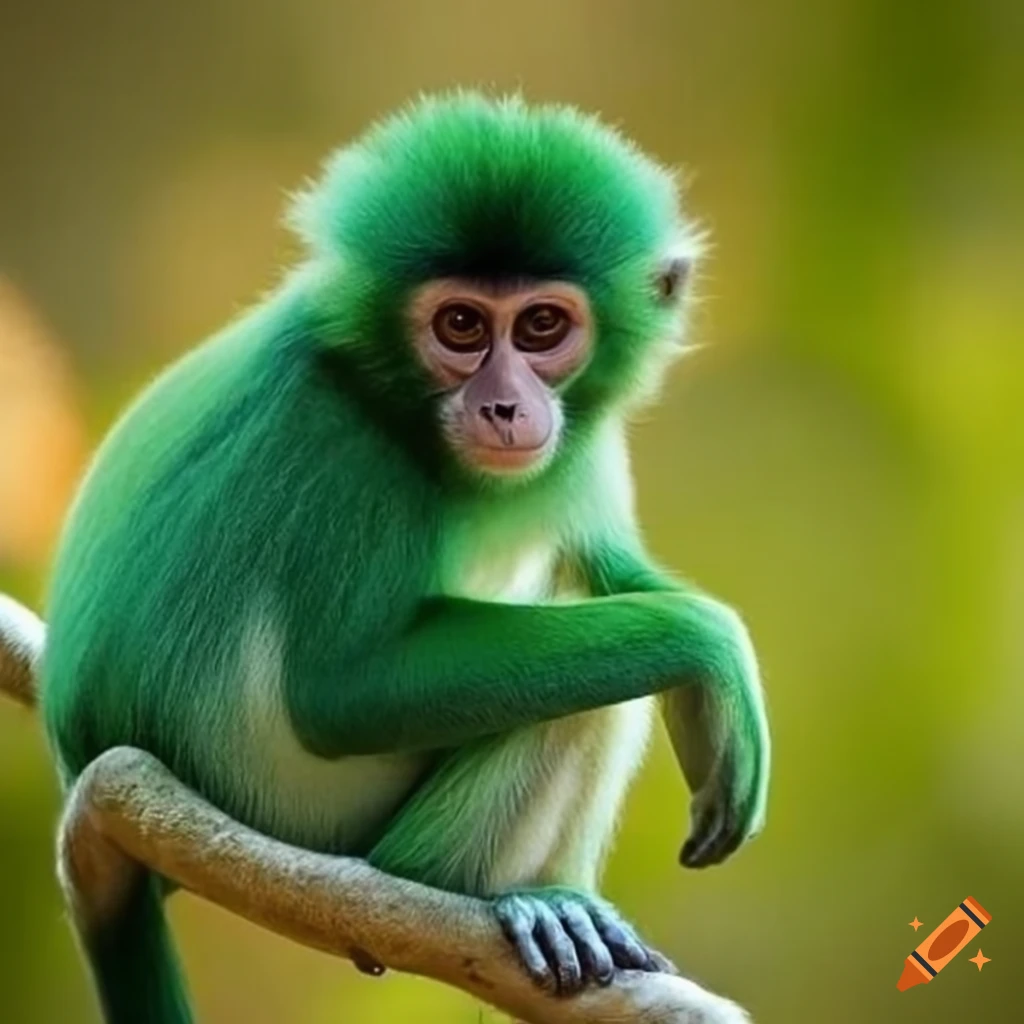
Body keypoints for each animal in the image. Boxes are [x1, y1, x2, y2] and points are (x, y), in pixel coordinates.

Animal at [39, 92, 770, 1024]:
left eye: (542, 325)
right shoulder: (346, 447)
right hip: (321, 820)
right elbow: (340, 695)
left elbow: (612, 565)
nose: (505, 406)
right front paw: (716, 653)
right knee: (584, 704)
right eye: (460, 325)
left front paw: (721, 706)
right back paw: (523, 900)